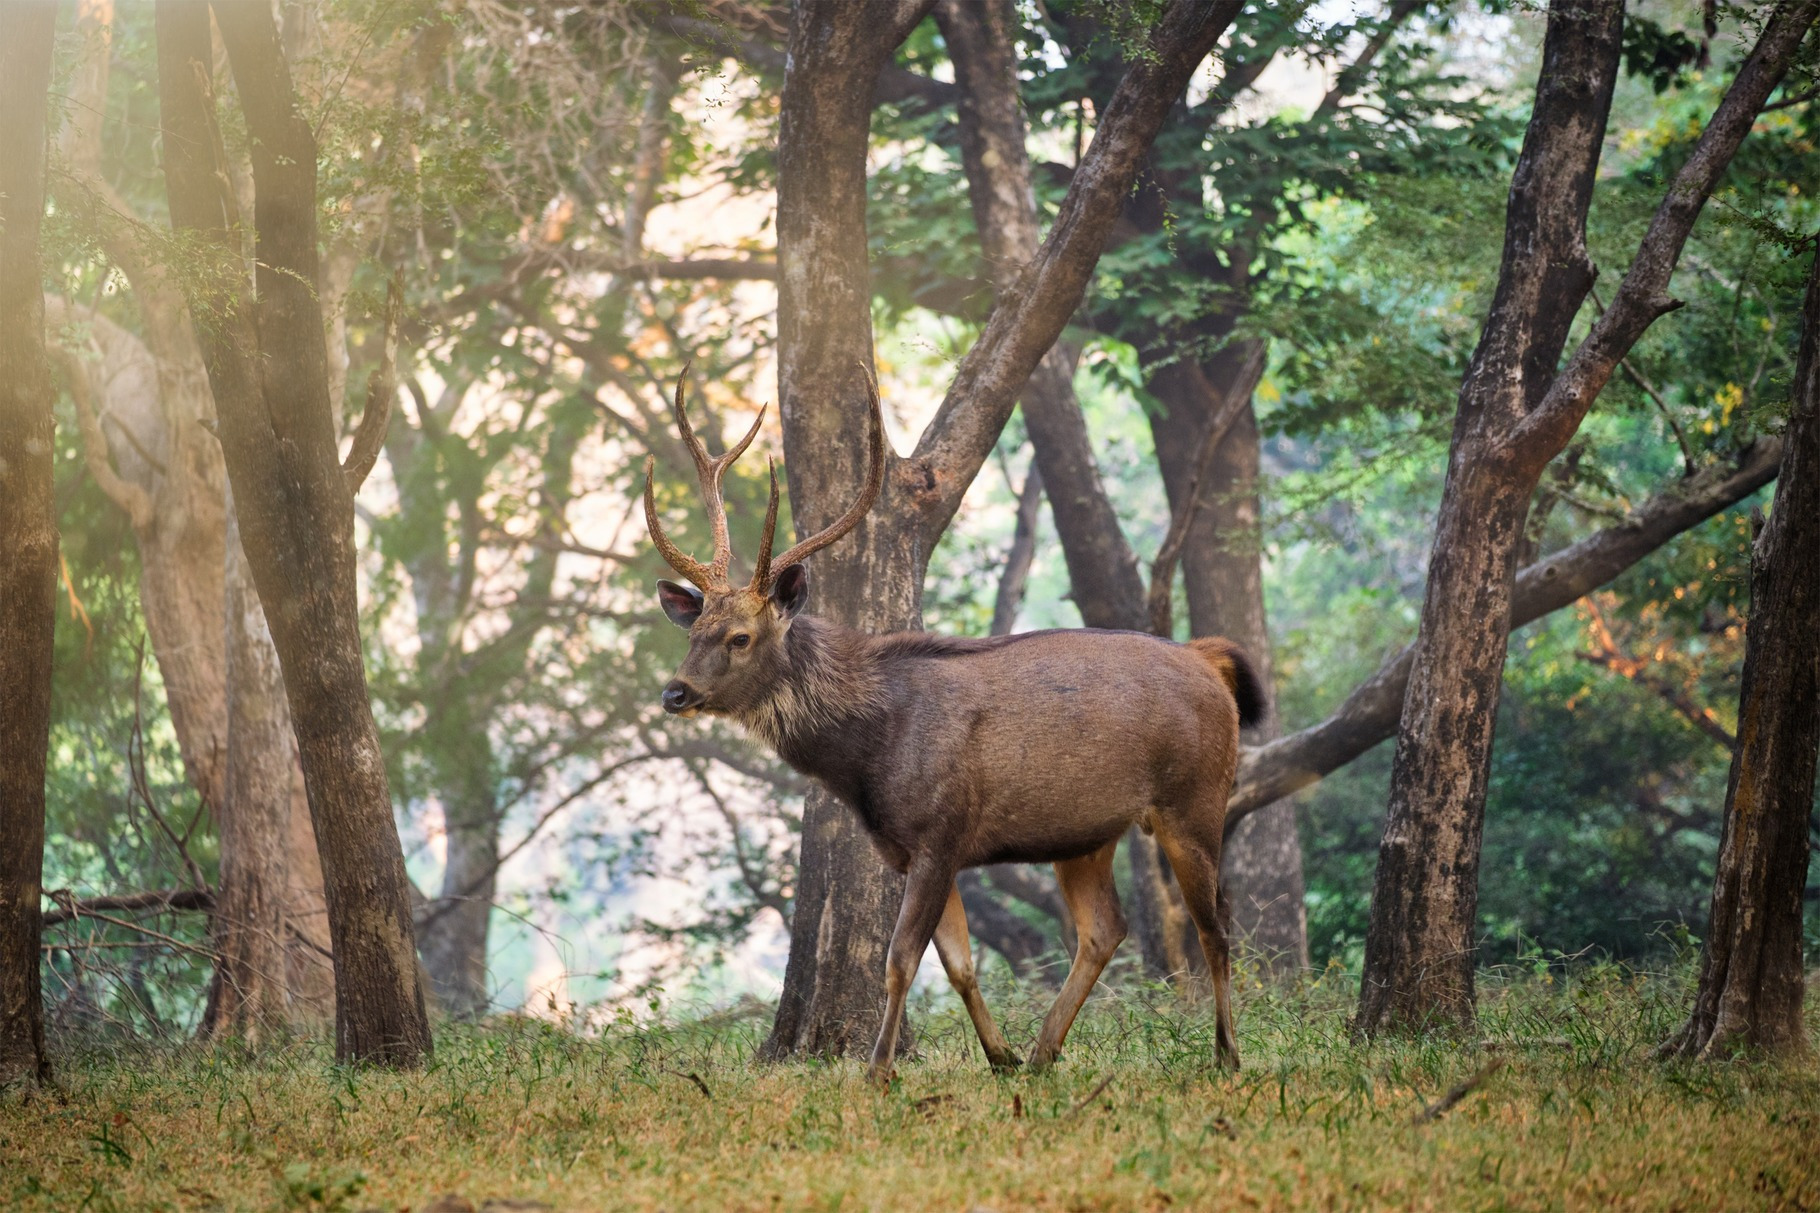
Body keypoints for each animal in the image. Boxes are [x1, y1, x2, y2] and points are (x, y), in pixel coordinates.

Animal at [642, 370, 1264, 1084]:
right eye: (695, 631)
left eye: (740, 637)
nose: (675, 692)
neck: (867, 757)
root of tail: (1211, 663)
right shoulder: (908, 849)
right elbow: (960, 964)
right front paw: (1000, 1056)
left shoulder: (940, 832)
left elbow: (899, 961)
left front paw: (878, 1070)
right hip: (1085, 833)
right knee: (1106, 927)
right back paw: (1045, 1051)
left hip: (1196, 798)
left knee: (1215, 926)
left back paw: (1226, 1053)